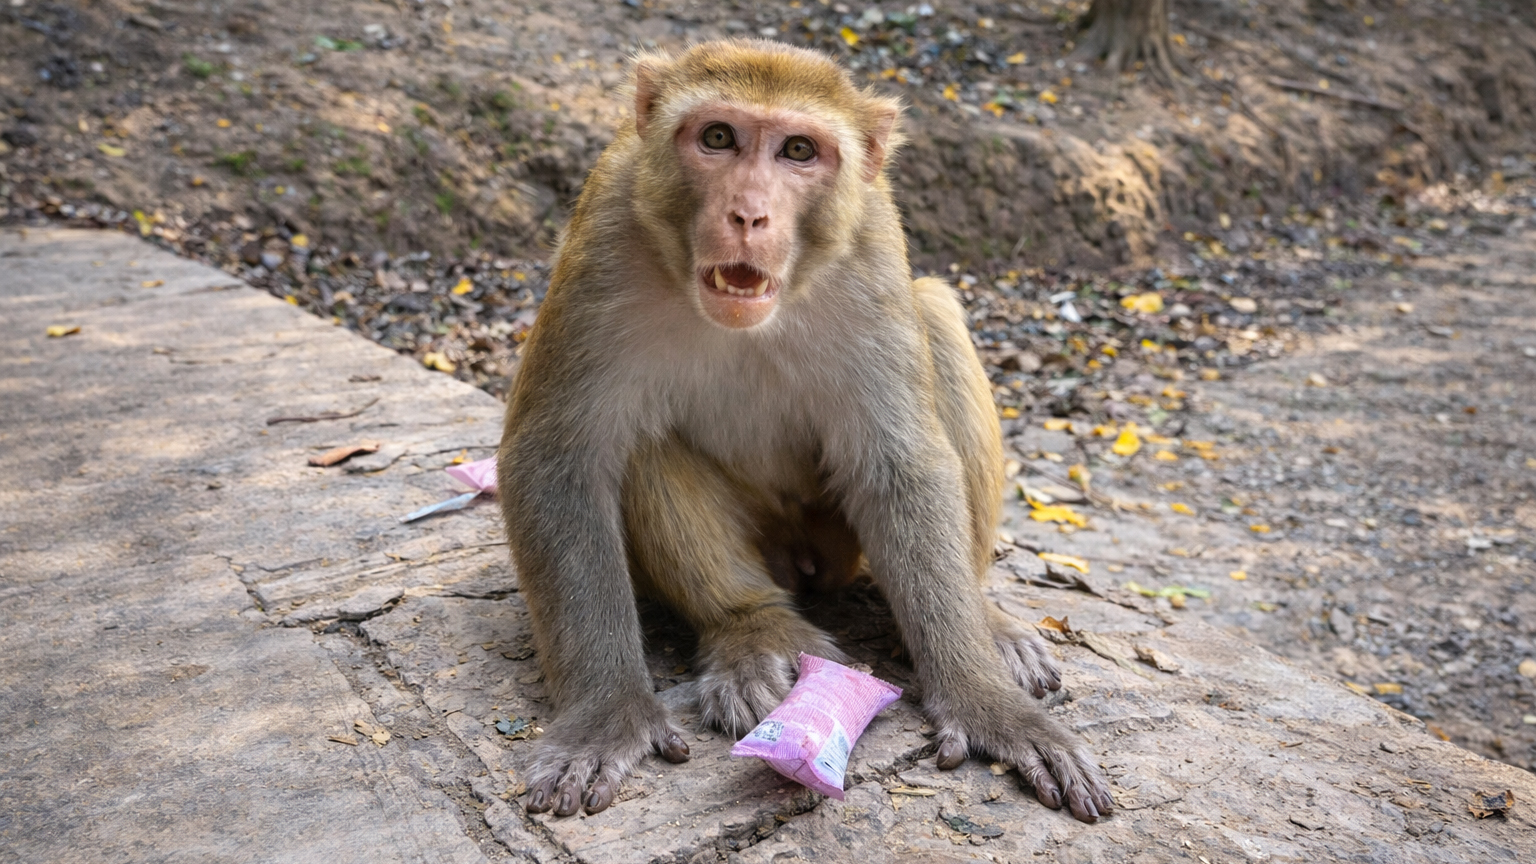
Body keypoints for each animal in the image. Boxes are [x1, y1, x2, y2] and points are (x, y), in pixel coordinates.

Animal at [496, 39, 1114, 823]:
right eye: (718, 137)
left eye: (798, 150)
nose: (748, 215)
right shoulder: (604, 231)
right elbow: (560, 460)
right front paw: (605, 715)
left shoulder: (871, 244)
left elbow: (900, 465)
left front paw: (983, 700)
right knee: (642, 444)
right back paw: (752, 630)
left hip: (839, 538)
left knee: (935, 312)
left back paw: (984, 617)